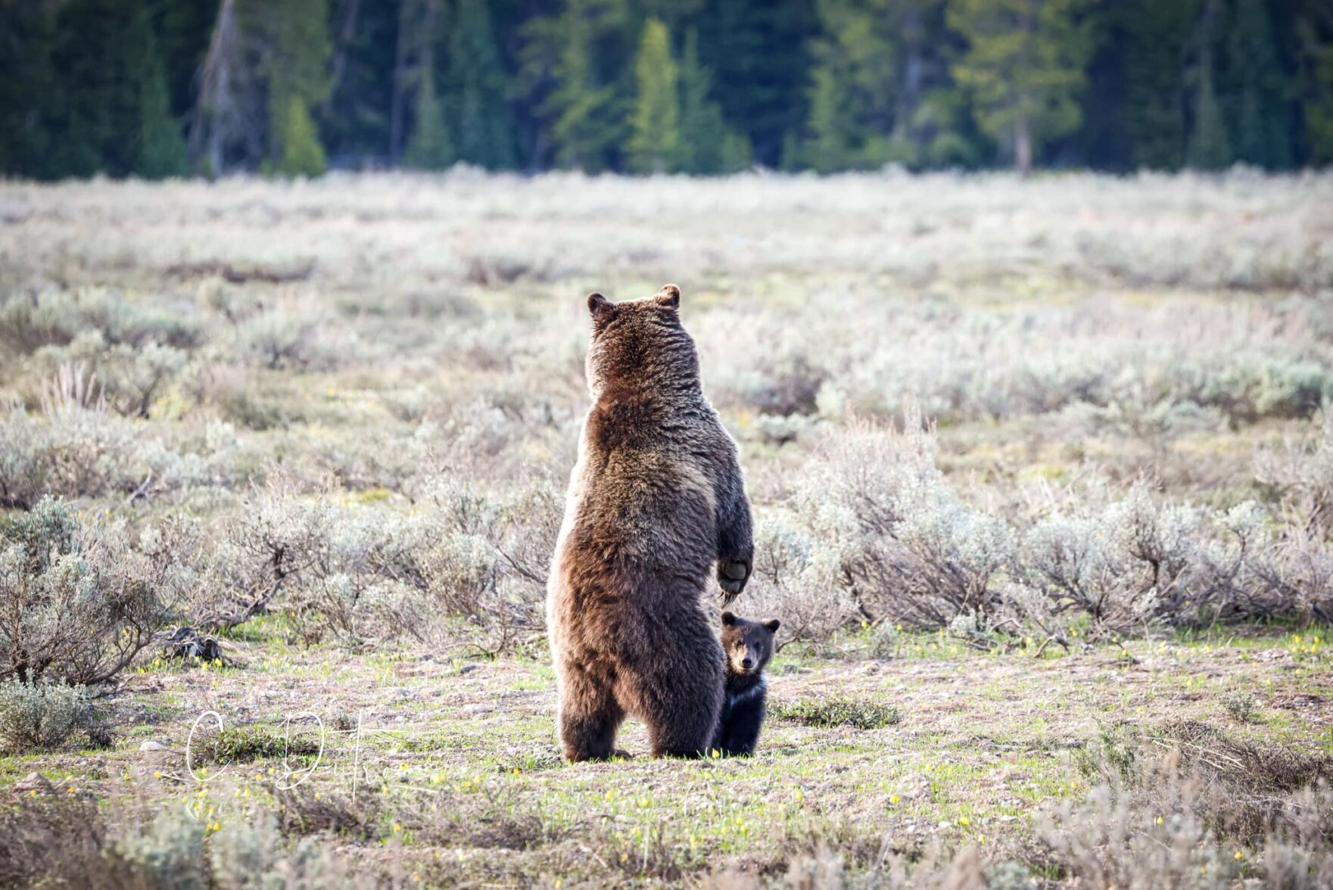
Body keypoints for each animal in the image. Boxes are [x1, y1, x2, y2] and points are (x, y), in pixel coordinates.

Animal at [546, 284, 754, 761]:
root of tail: (597, 641)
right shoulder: (708, 448)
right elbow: (734, 509)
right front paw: (735, 573)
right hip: (665, 632)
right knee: (690, 685)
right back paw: (686, 744)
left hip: (571, 661)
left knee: (581, 709)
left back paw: (590, 748)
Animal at [712, 611, 779, 757]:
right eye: (738, 641)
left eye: (758, 643)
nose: (746, 661)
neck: (738, 680)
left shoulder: (751, 695)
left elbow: (745, 727)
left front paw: (740, 751)